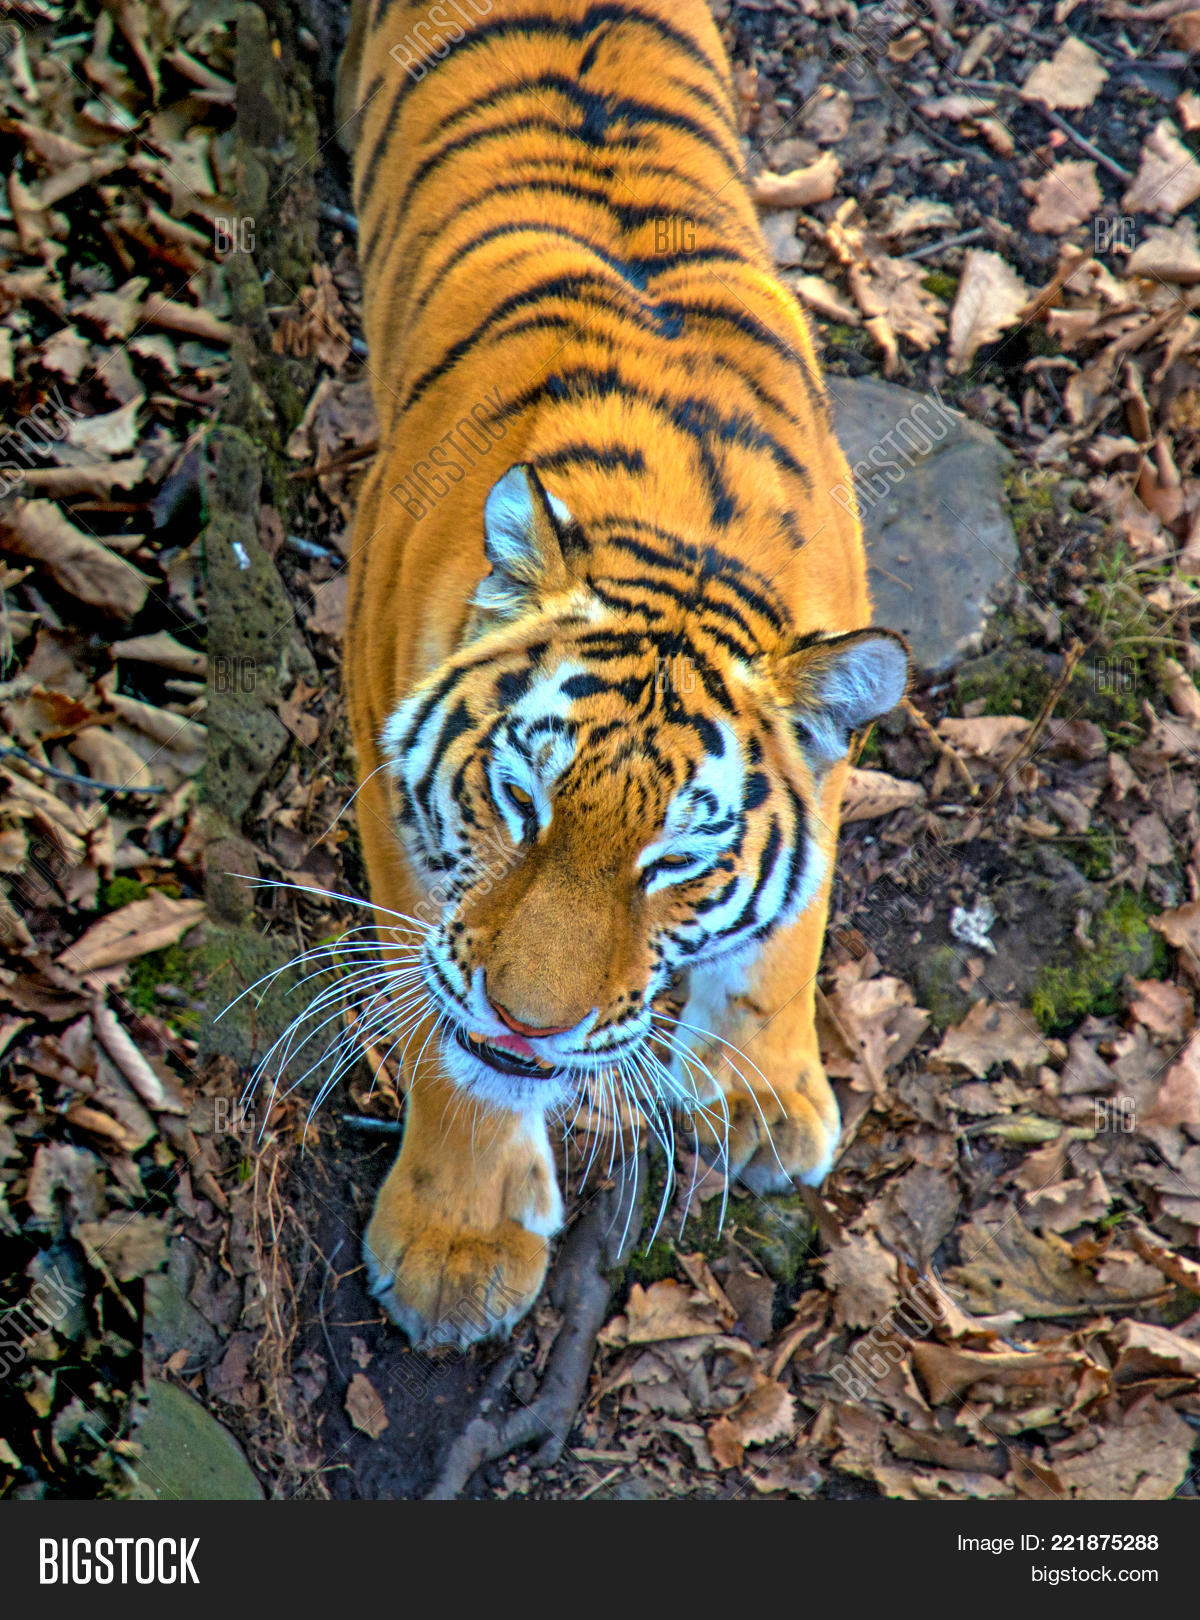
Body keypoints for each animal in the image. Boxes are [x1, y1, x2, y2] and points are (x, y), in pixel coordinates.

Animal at [336, 0, 909, 1348]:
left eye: (676, 862)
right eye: (519, 802)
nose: (529, 1019)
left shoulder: (828, 757)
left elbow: (787, 933)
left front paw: (762, 1098)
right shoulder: (387, 790)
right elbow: (449, 1045)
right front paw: (454, 1248)